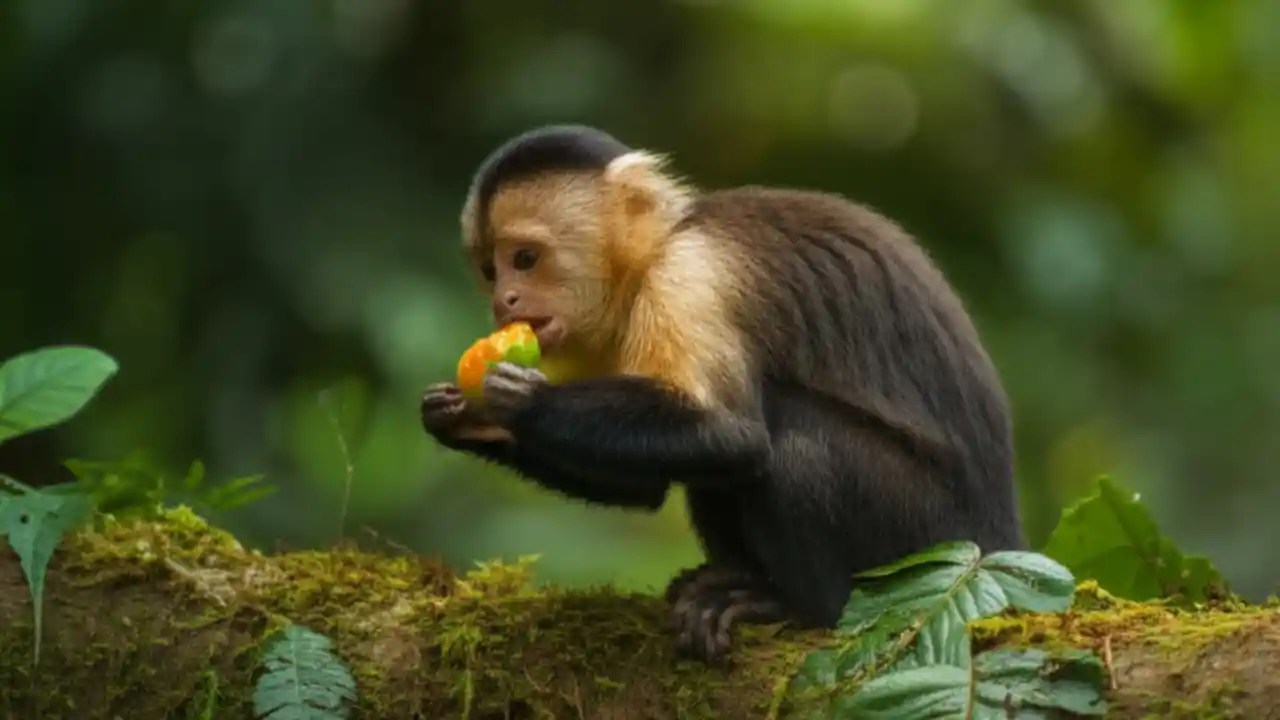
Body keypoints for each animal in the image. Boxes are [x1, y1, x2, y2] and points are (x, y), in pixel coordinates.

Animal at [421, 124, 1025, 663]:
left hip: (929, 543)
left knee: (796, 442)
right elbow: (648, 483)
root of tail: (997, 540)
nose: (504, 302)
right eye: (490, 270)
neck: (656, 251)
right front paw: (460, 418)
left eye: (524, 259)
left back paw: (797, 605)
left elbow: (729, 435)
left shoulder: (689, 277)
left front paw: (521, 401)